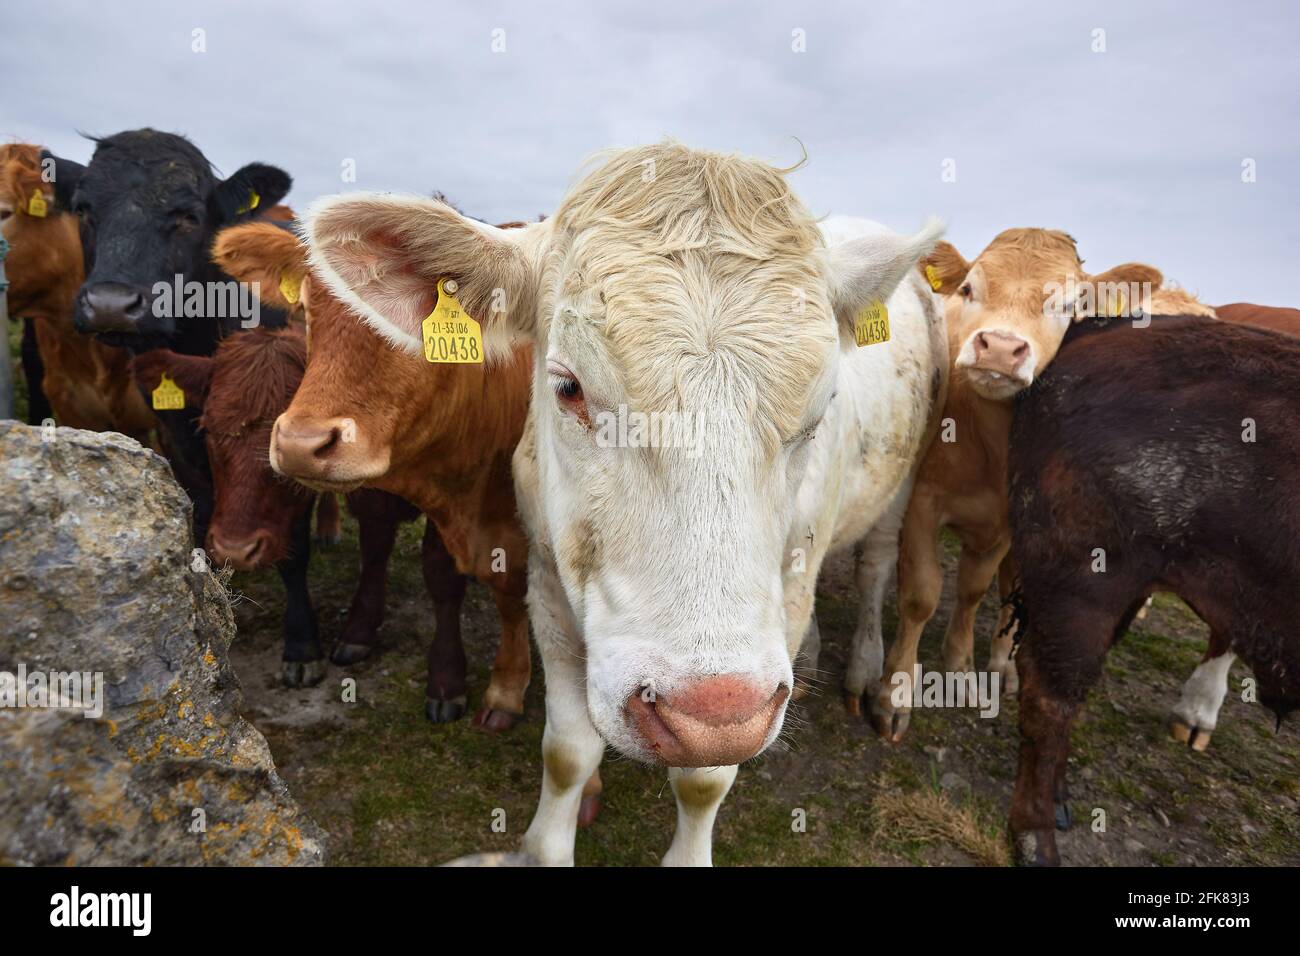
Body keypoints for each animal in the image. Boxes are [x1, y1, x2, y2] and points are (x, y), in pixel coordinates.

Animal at [300, 143, 948, 865]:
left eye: (821, 405)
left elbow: (703, 780)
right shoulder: (549, 579)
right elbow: (566, 751)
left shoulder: (785, 599)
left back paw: (875, 678)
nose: (706, 715)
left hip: (906, 477)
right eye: (568, 386)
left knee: (876, 566)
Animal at [861, 227, 1214, 742]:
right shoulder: (922, 504)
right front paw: (895, 693)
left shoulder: (1006, 524)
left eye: (1067, 306)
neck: (987, 449)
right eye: (968, 289)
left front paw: (962, 668)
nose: (1000, 347)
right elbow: (922, 593)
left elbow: (973, 589)